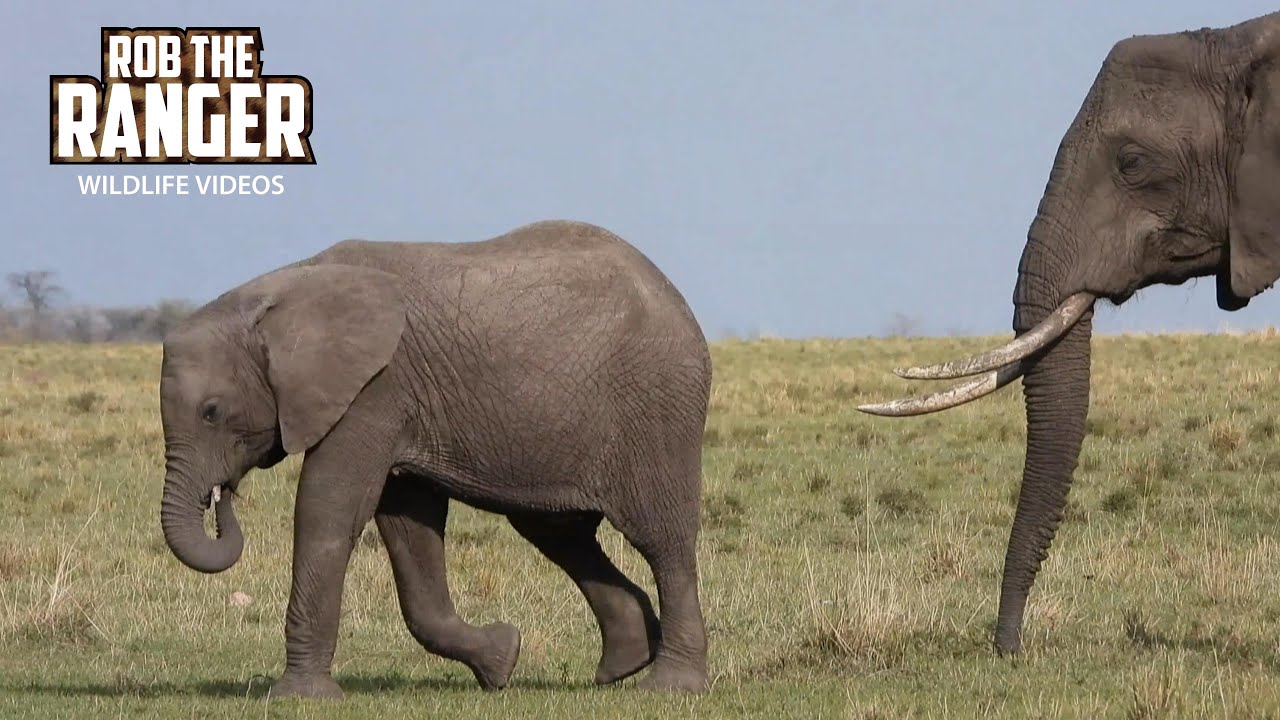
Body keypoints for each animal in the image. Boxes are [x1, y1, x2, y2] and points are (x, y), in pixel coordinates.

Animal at [157, 219, 713, 698]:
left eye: (211, 412)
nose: (222, 495)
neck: (280, 292)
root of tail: (672, 294)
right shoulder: (399, 405)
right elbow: (408, 526)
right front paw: (501, 662)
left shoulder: (374, 390)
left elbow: (329, 508)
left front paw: (298, 697)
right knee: (559, 533)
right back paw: (625, 662)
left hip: (657, 410)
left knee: (662, 539)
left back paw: (670, 685)